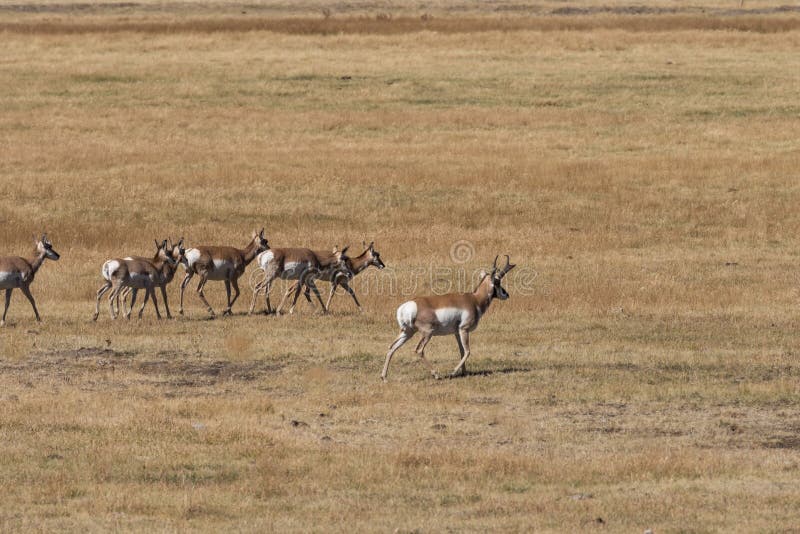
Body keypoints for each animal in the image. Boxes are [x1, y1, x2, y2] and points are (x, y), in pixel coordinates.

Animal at [381, 255, 515, 381]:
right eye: (498, 282)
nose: (507, 294)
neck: (474, 299)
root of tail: (408, 305)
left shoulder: (457, 332)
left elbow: (462, 351)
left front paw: (464, 373)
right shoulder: (464, 329)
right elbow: (468, 351)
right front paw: (453, 372)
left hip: (407, 333)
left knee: (391, 347)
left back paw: (384, 377)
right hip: (427, 333)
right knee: (419, 350)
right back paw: (436, 375)